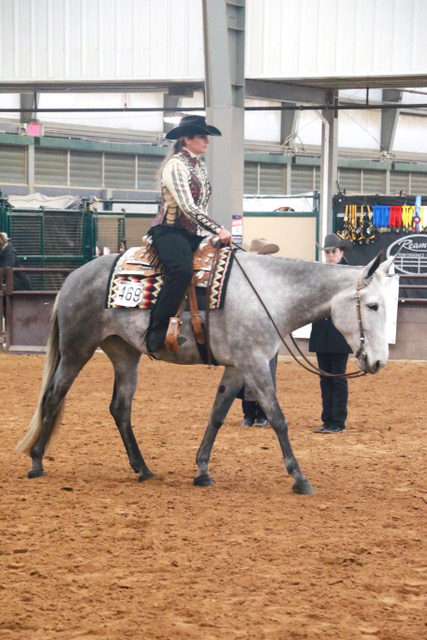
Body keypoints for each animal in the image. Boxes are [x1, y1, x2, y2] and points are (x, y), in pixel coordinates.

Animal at [16, 249, 393, 495]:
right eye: (373, 305)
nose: (378, 362)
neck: (270, 293)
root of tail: (72, 278)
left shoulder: (238, 368)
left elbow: (217, 415)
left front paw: (202, 471)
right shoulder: (254, 364)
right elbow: (277, 418)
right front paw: (299, 477)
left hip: (124, 354)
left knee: (120, 408)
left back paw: (143, 469)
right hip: (76, 350)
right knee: (52, 398)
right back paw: (36, 463)